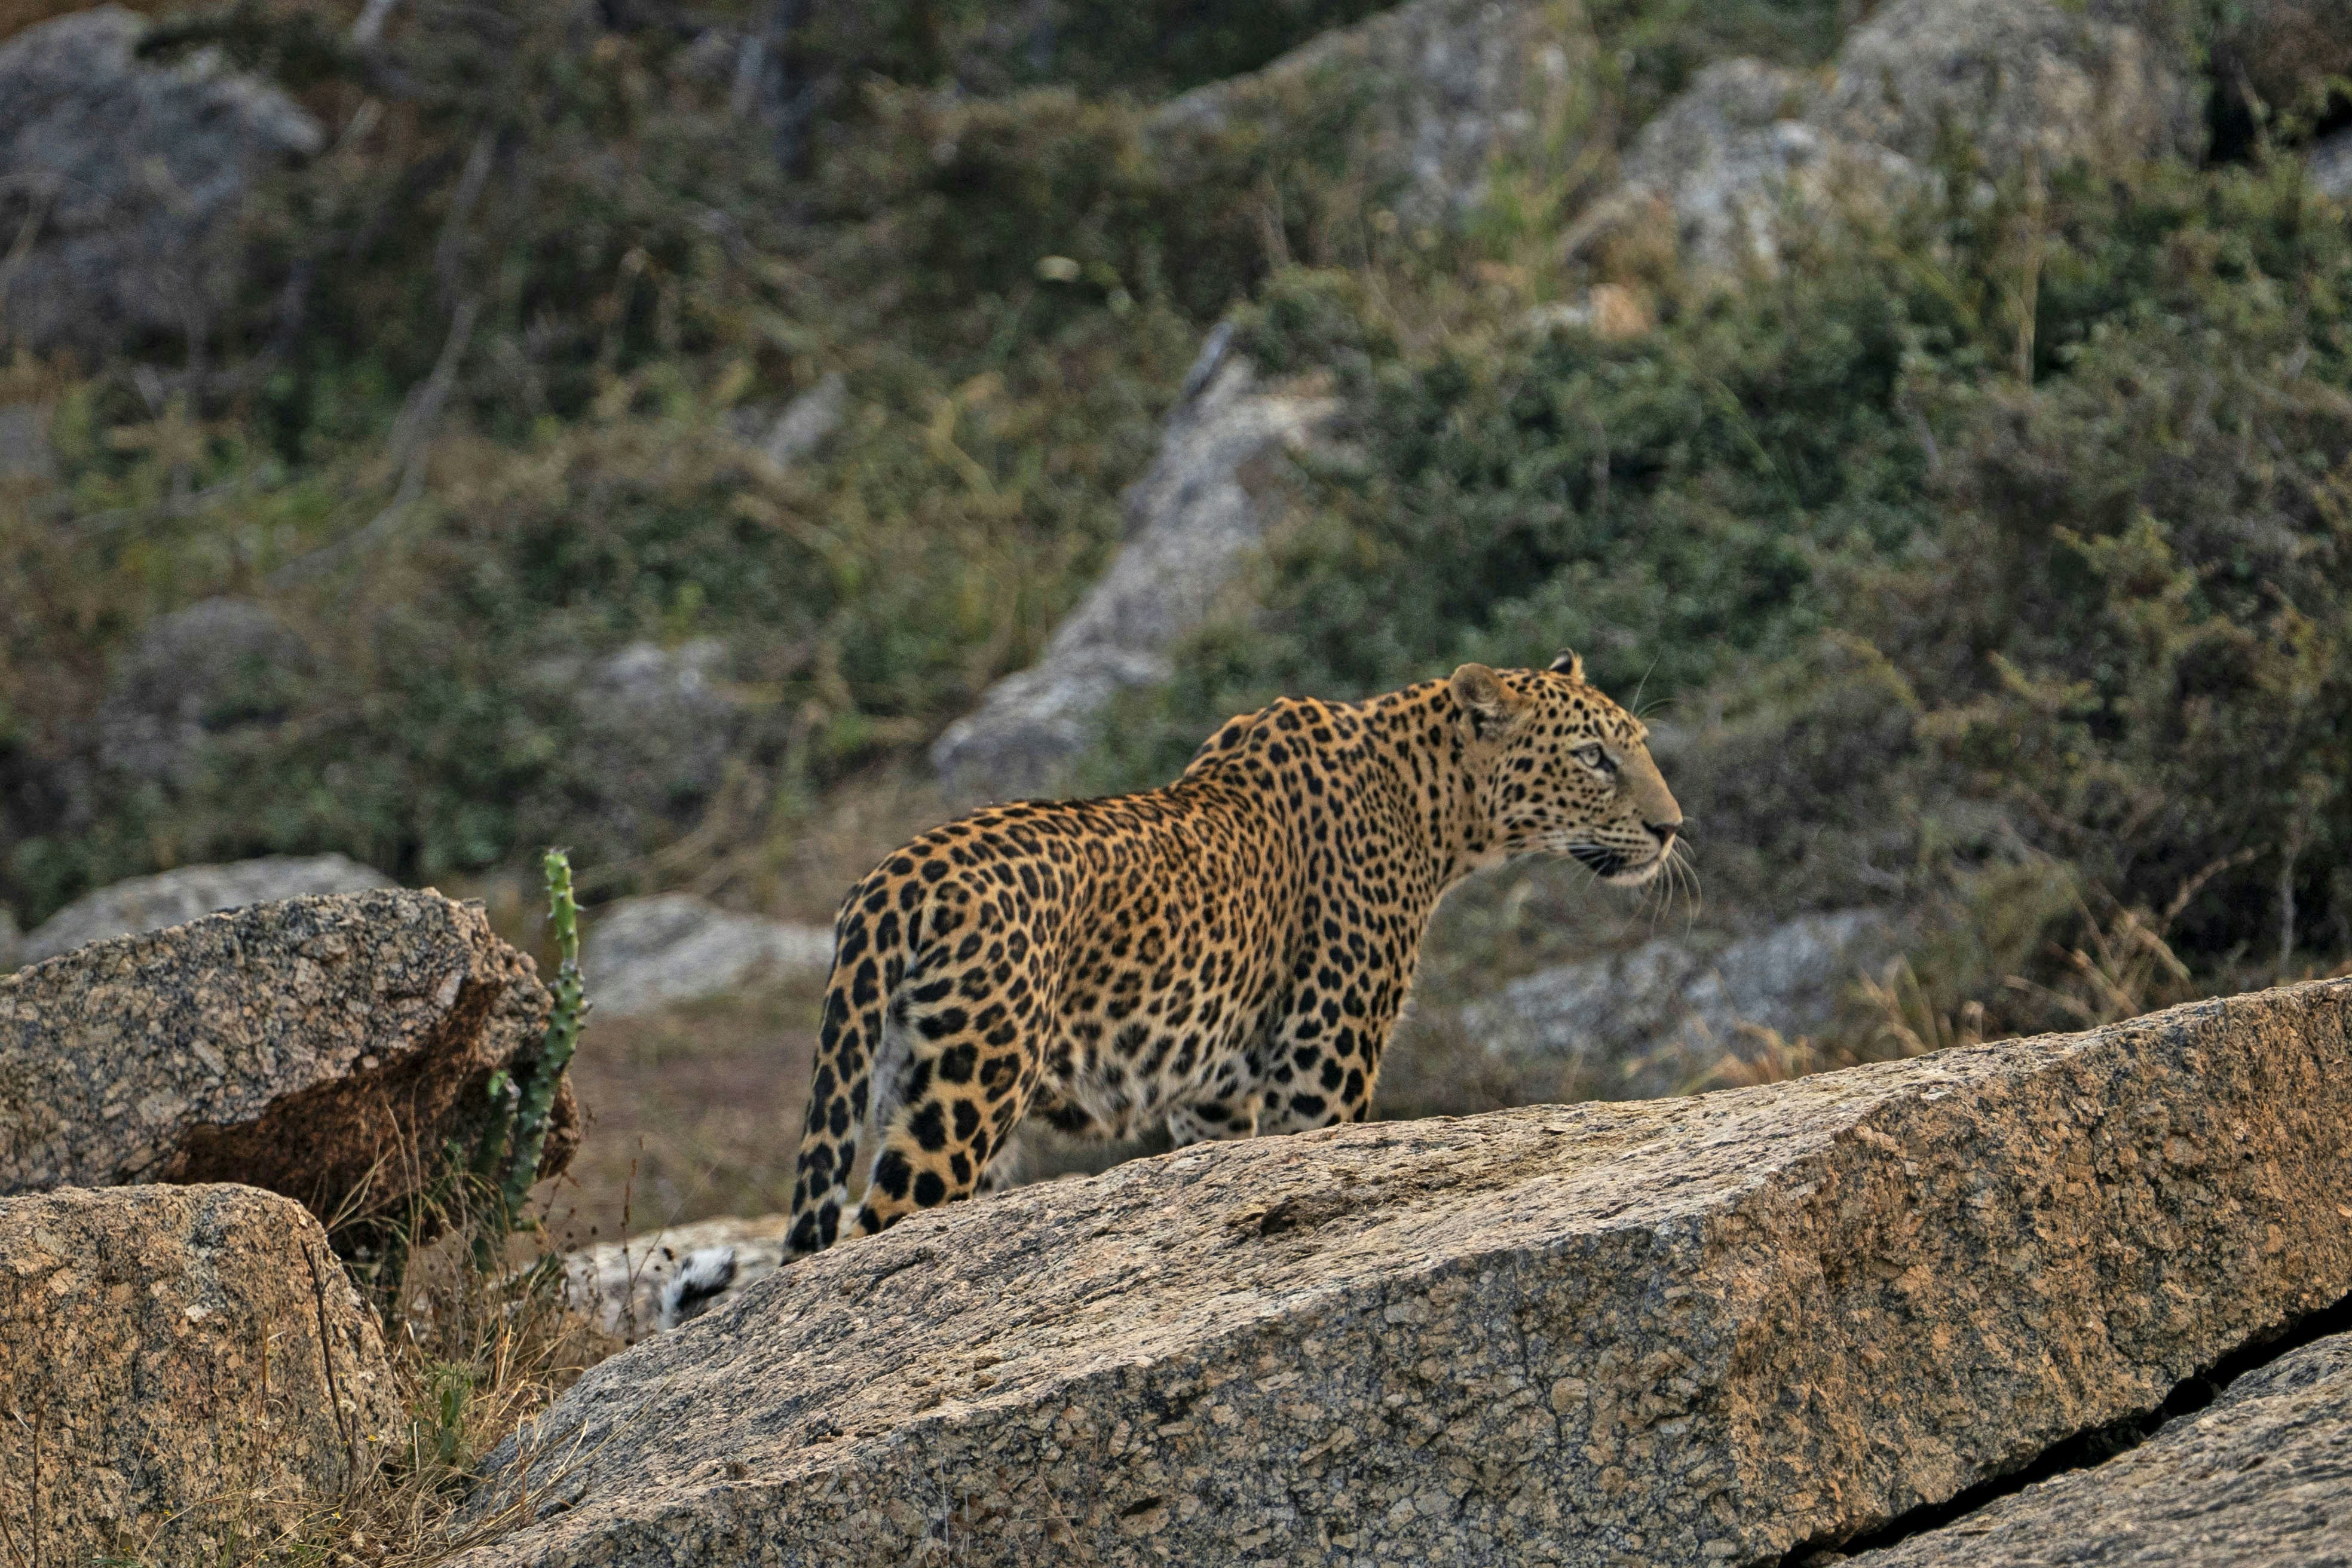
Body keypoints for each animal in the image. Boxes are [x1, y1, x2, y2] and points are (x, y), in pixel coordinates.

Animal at [784, 653, 1683, 1256]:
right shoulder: (1319, 1071)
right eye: (1593, 757)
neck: (1433, 805)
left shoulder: (1213, 1099)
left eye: (1638, 742)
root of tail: (890, 880)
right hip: (964, 1098)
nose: (1672, 826)